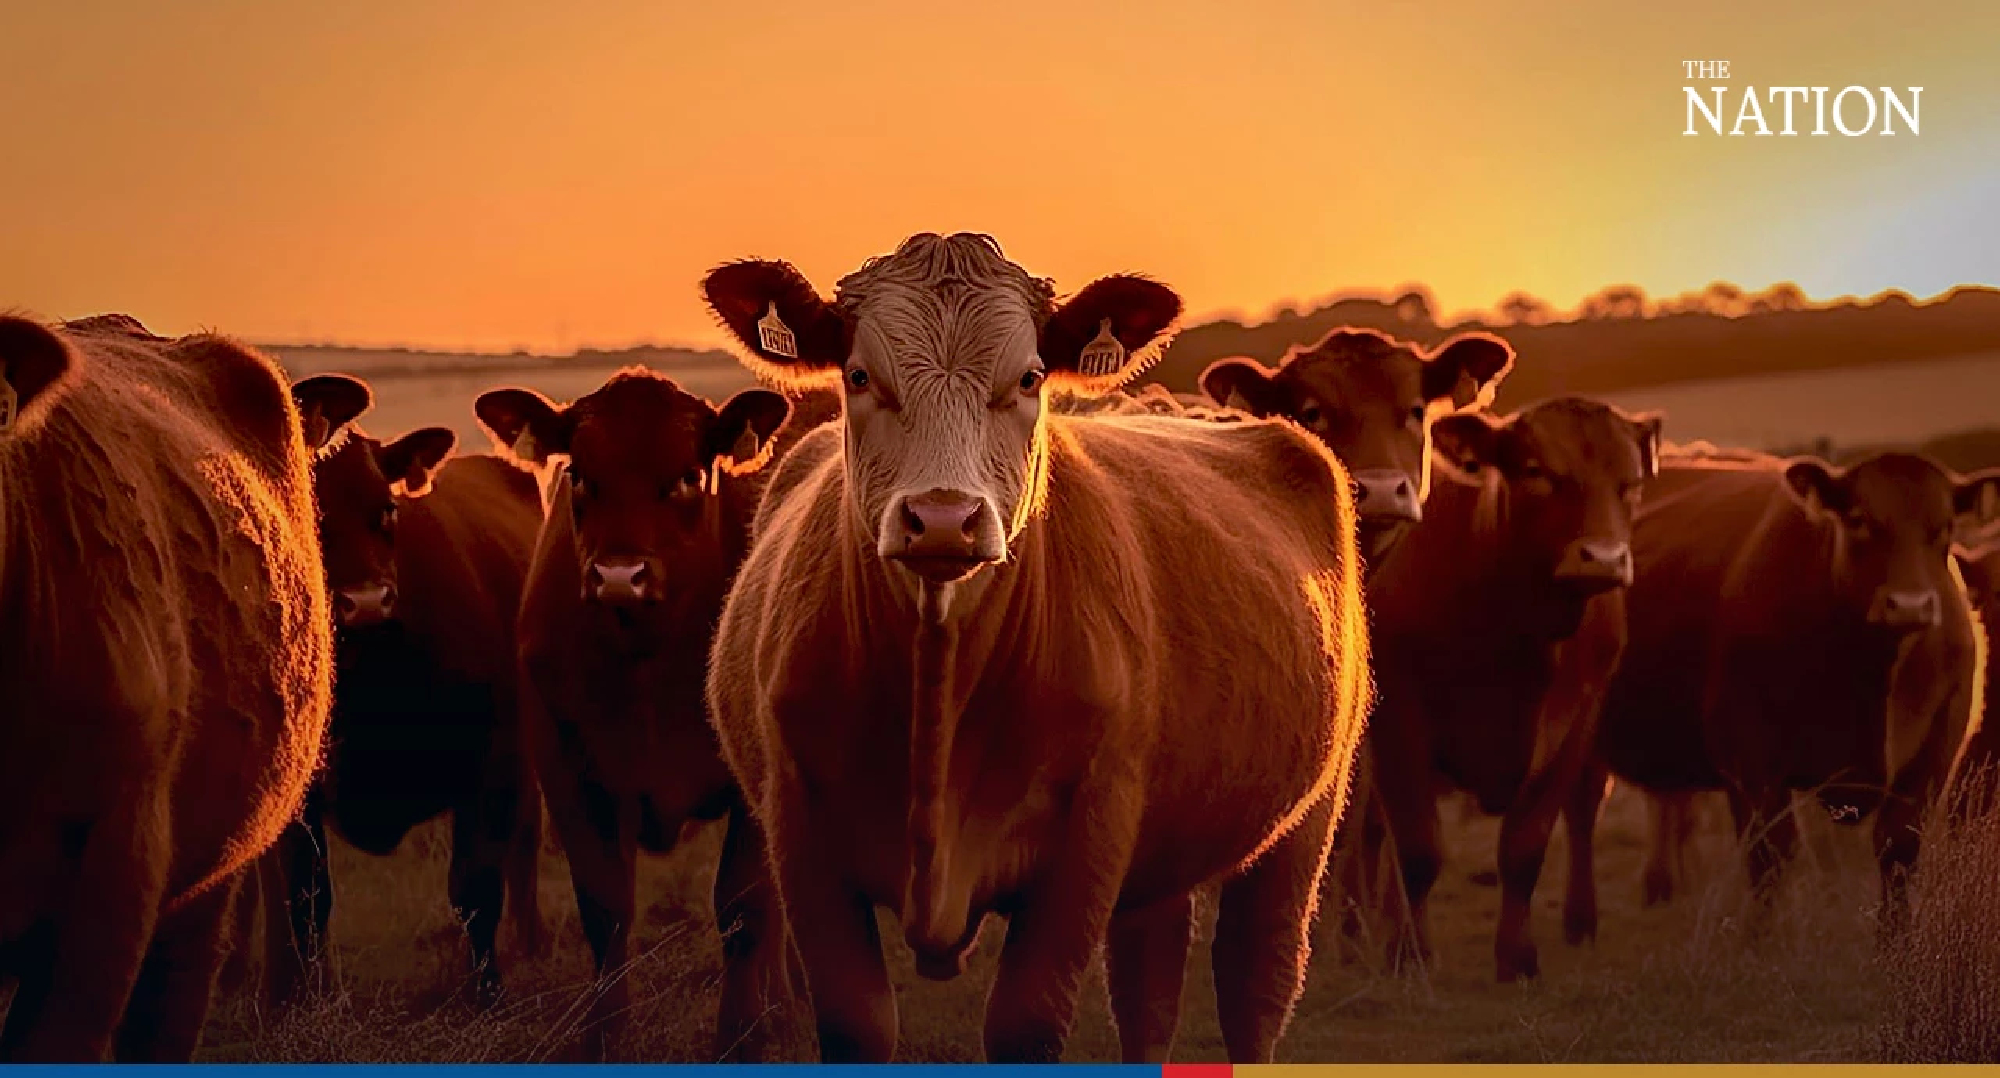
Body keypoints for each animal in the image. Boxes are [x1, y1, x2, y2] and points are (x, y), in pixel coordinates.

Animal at [270, 374, 546, 1002]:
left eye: (388, 510)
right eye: (311, 512)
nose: (368, 602)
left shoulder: (493, 758)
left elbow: (476, 887)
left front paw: (487, 994)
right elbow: (306, 897)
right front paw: (304, 999)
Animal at [472, 370, 837, 1061]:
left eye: (689, 476)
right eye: (580, 475)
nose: (620, 576)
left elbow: (746, 906)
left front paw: (743, 1036)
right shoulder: (567, 761)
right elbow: (605, 904)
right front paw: (604, 1036)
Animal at [699, 232, 1372, 1063]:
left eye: (1027, 377)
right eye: (859, 375)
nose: (943, 518)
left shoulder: (1091, 830)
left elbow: (1027, 1023)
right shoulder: (798, 825)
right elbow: (858, 1024)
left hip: (1306, 821)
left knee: (1255, 985)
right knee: (1149, 991)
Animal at [1365, 397, 1662, 981]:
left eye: (1632, 482)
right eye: (1535, 471)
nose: (1603, 558)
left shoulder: (1574, 720)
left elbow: (1526, 847)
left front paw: (1518, 959)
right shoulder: (1398, 720)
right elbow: (1416, 848)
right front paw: (1409, 955)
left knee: (1582, 814)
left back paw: (1580, 925)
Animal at [1582, 450, 2000, 927]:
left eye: (1945, 527)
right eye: (1858, 519)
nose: (1909, 605)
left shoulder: (1933, 756)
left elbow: (1898, 855)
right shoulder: (1751, 760)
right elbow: (1771, 860)